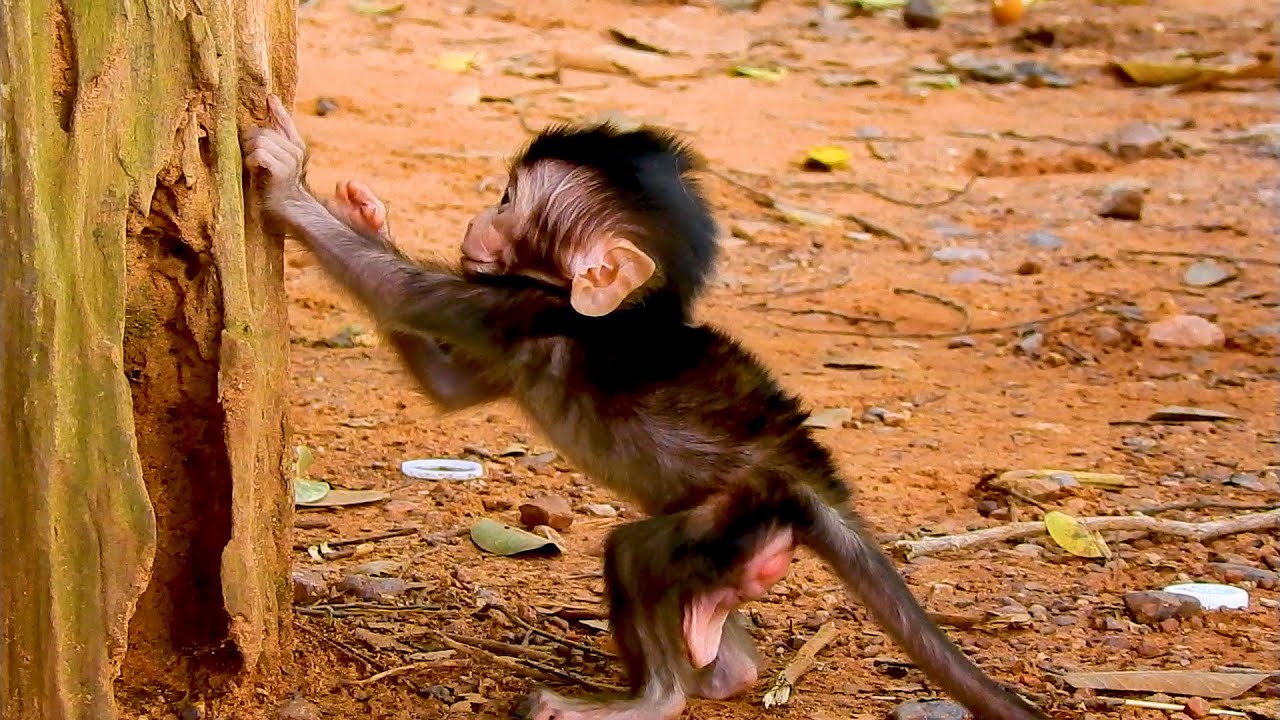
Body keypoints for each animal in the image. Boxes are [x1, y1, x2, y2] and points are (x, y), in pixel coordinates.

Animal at [242, 95, 1050, 720]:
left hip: (739, 511)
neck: (605, 311)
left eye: (506, 203)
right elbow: (447, 388)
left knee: (634, 553)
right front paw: (364, 213)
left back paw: (652, 696)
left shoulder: (523, 308)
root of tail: (813, 482)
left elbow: (400, 294)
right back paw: (722, 657)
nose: (476, 218)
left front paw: (287, 180)